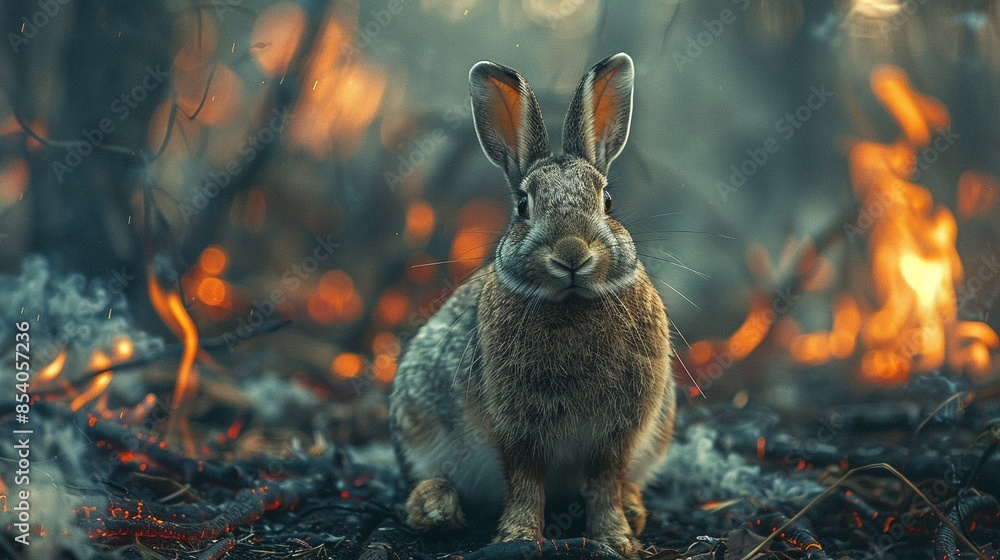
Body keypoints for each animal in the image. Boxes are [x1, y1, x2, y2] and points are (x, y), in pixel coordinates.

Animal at [389, 52, 675, 559]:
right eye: (523, 204)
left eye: (607, 199)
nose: (572, 254)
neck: (573, 302)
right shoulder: (517, 430)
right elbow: (525, 483)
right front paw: (518, 537)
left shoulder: (617, 434)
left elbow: (605, 484)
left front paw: (616, 538)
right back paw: (436, 508)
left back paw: (635, 508)